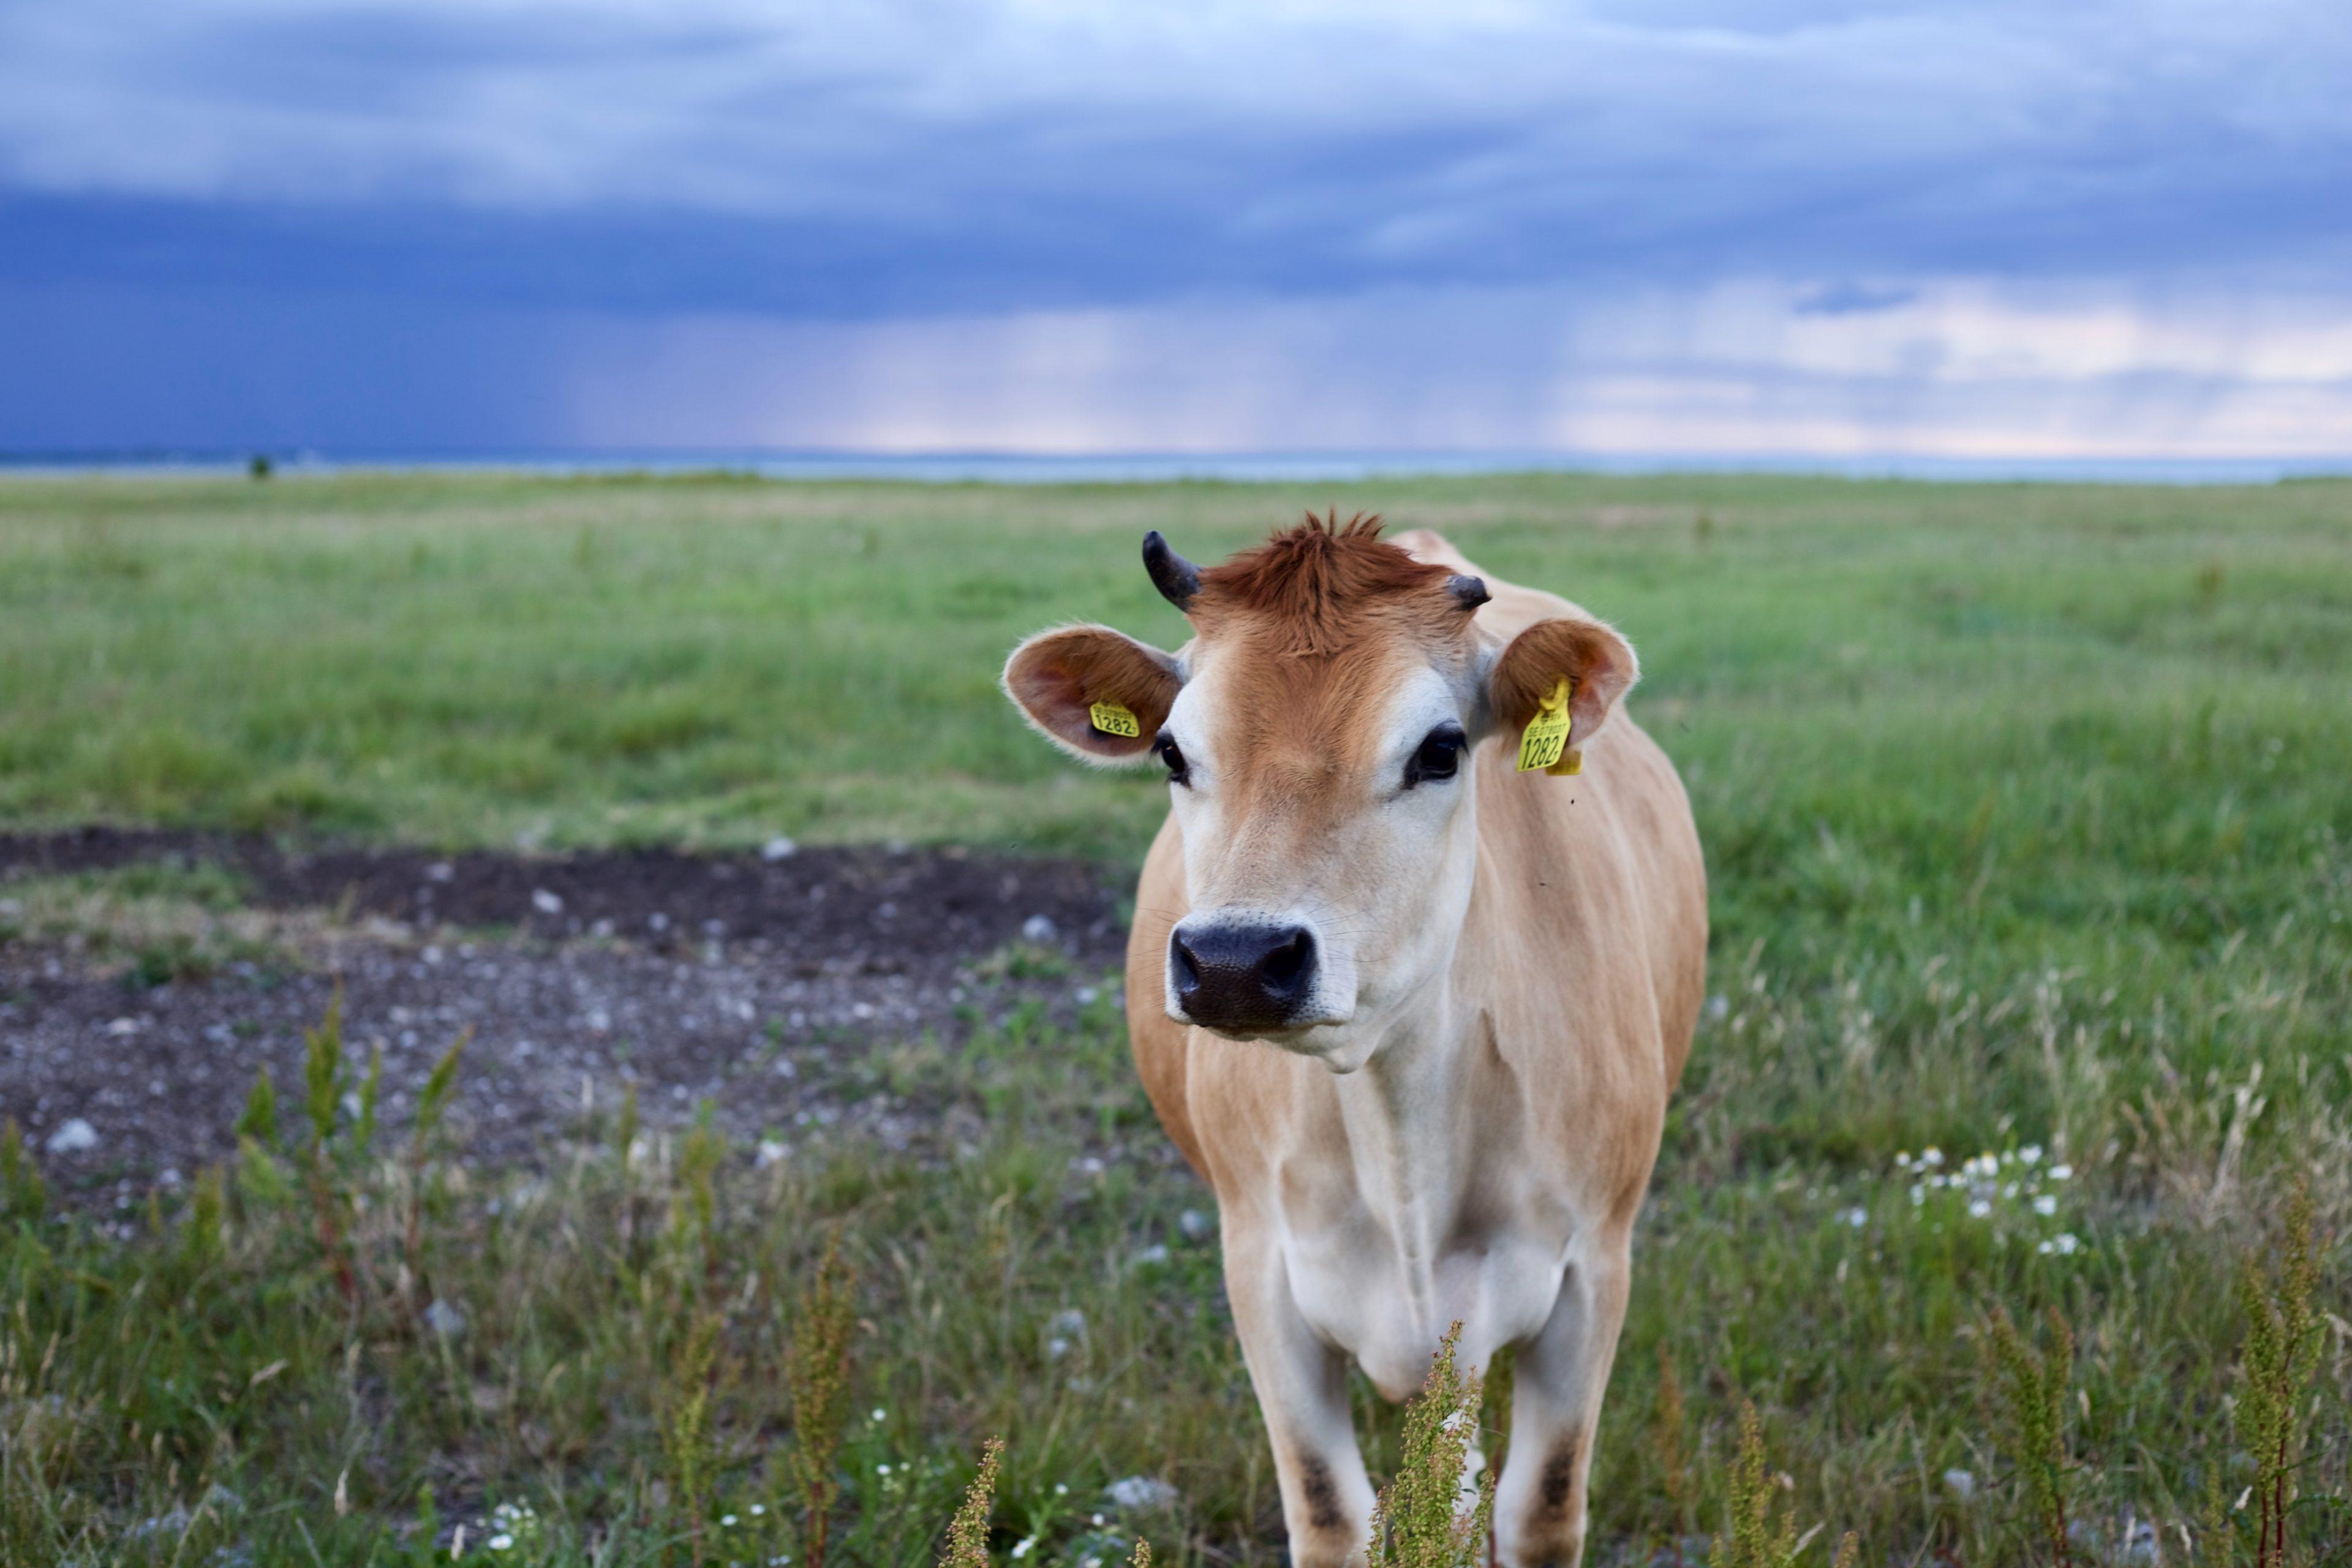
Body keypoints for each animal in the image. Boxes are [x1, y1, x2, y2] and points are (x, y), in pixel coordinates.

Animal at [1001, 513, 1706, 1568]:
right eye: (1171, 753)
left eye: (1442, 750)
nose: (1235, 961)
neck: (1399, 1121)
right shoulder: (1261, 1268)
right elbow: (1333, 1512)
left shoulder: (1593, 1270)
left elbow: (1538, 1508)